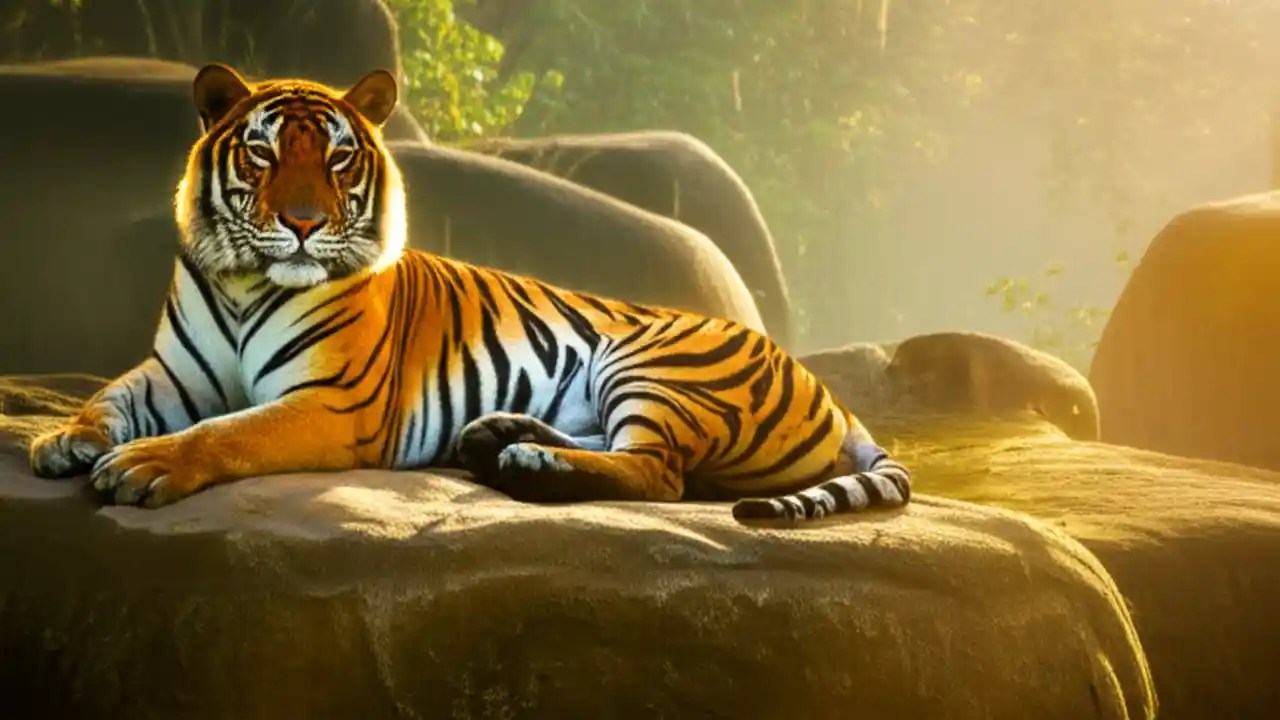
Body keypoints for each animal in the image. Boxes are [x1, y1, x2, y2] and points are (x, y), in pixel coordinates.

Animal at [28, 63, 911, 523]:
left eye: (339, 158)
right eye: (263, 153)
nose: (305, 223)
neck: (245, 281)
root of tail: (825, 386)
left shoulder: (331, 403)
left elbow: (229, 432)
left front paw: (144, 465)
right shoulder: (174, 374)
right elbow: (108, 397)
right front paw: (65, 441)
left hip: (654, 362)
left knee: (660, 473)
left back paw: (527, 461)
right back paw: (500, 437)